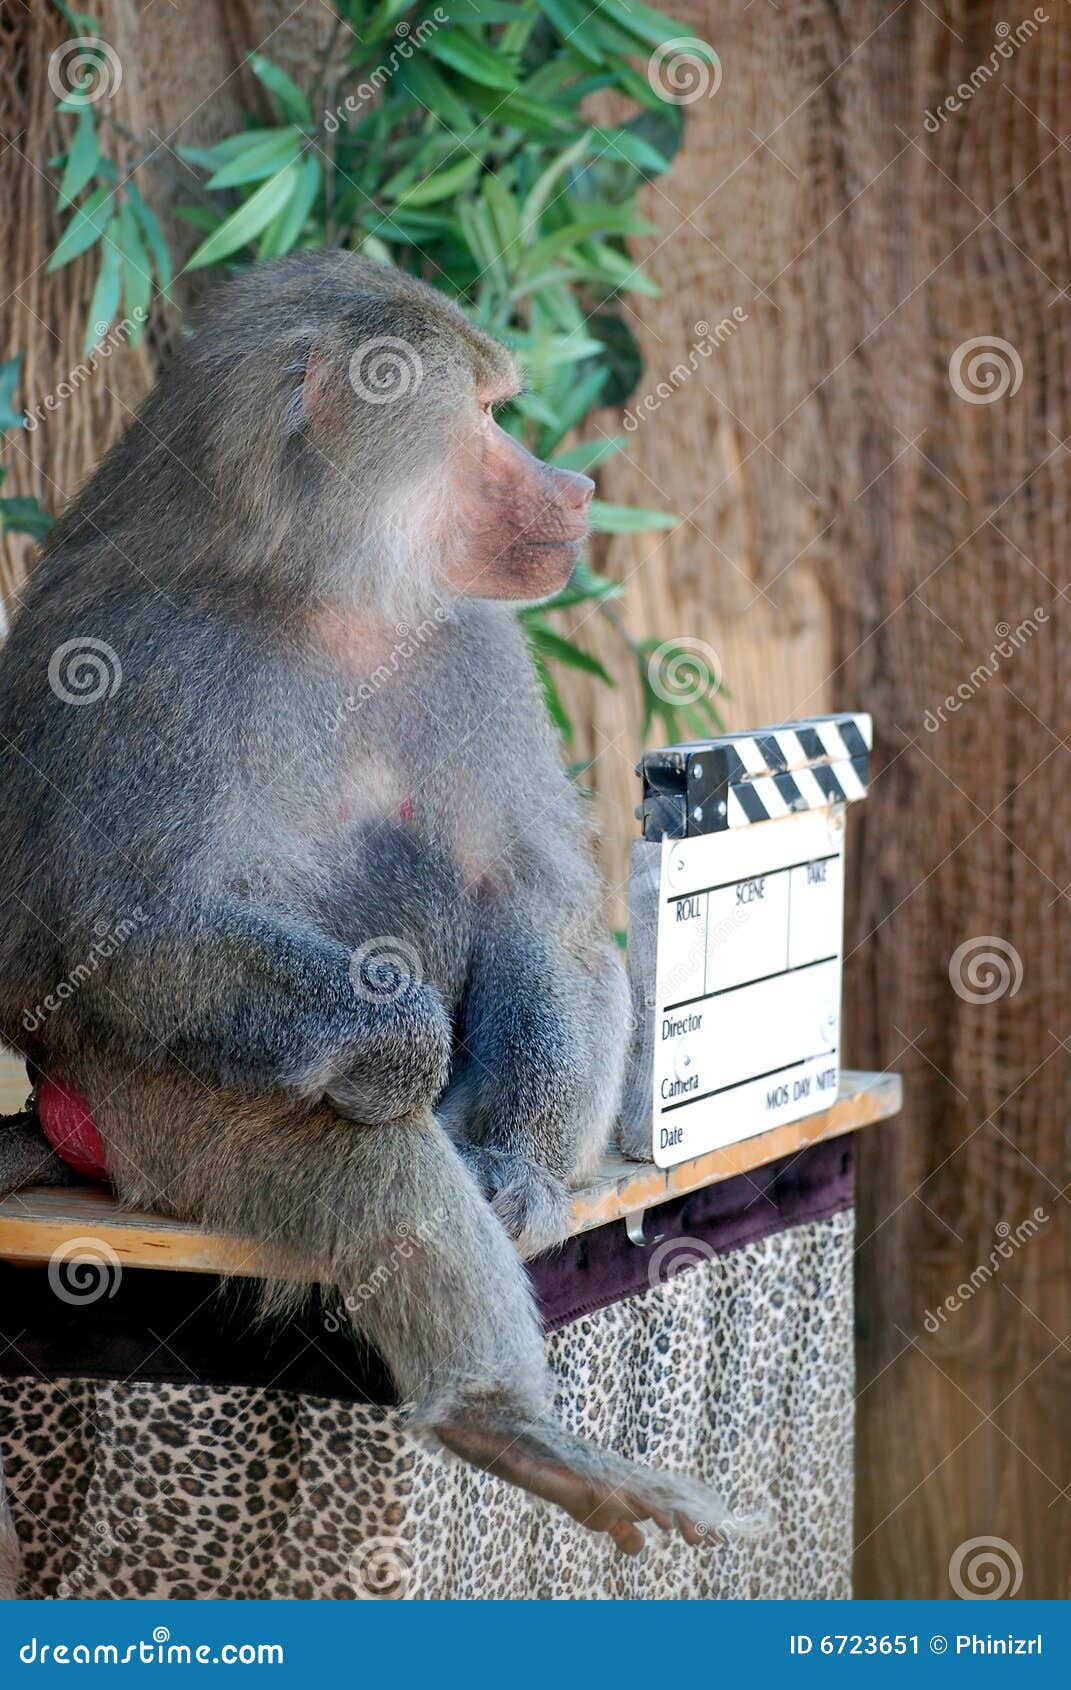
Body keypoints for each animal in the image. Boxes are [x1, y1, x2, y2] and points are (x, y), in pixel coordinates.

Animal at [0, 252, 750, 1557]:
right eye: (490, 415)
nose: (573, 486)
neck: (320, 587)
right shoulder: (130, 666)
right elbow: (102, 942)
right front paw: (401, 1049)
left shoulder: (478, 643)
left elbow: (541, 907)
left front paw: (521, 1166)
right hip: (148, 1121)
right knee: (355, 1143)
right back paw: (501, 1421)